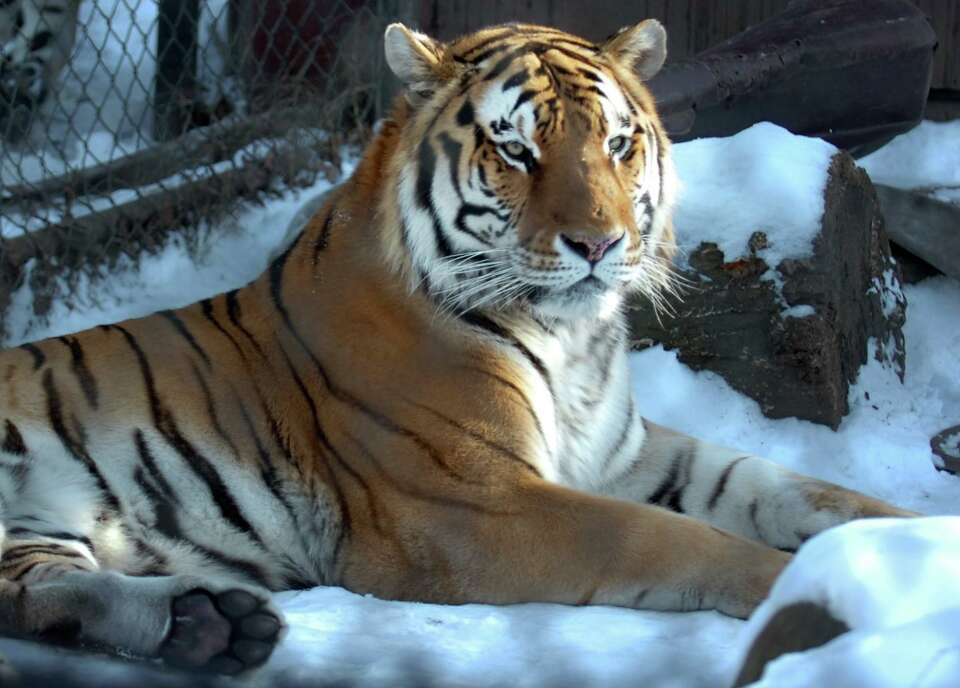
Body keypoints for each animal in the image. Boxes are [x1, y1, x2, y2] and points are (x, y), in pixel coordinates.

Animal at [0, 19, 914, 675]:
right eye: (517, 150)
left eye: (618, 145)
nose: (600, 243)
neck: (577, 344)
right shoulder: (472, 504)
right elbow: (671, 541)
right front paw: (804, 594)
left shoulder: (625, 457)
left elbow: (789, 488)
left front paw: (908, 537)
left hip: (44, 531)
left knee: (33, 593)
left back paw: (205, 627)